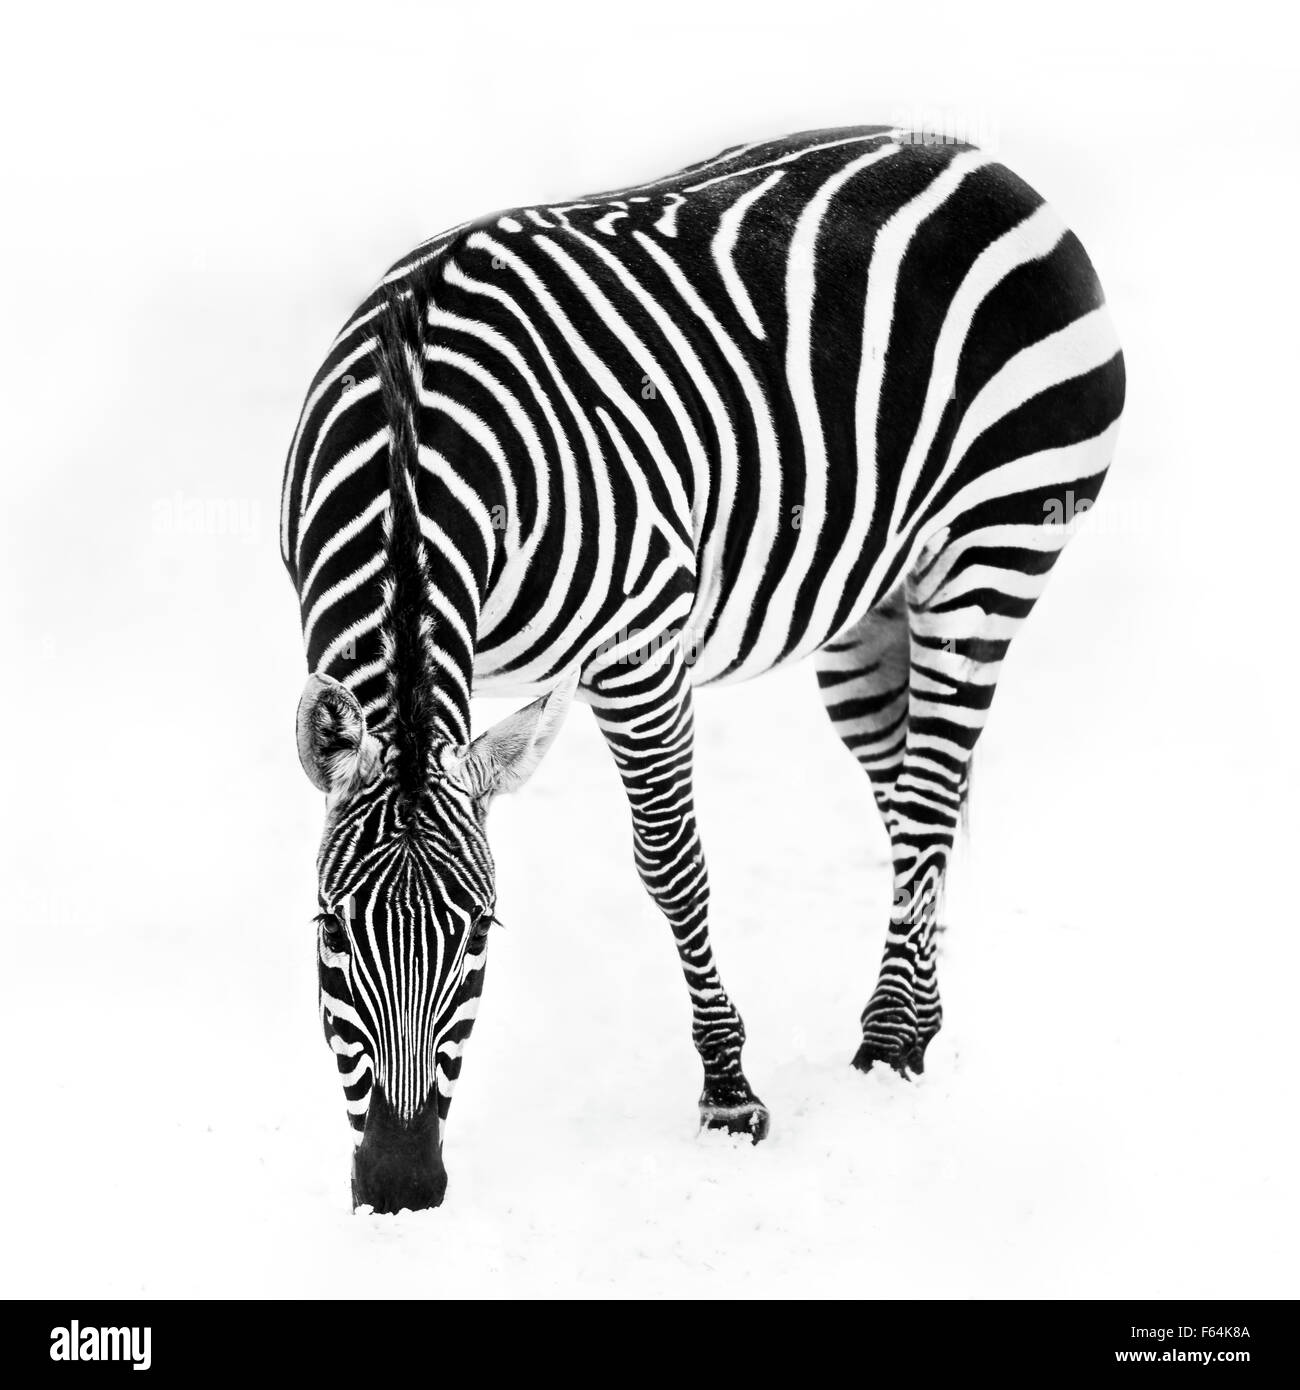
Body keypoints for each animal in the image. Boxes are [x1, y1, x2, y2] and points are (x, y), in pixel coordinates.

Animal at [282, 125, 1124, 1212]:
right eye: (329, 933)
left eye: (481, 935)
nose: (399, 1185)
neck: (408, 431)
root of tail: (979, 157)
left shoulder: (637, 648)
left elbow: (671, 865)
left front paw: (728, 1093)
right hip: (866, 603)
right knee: (908, 801)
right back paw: (918, 1018)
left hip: (993, 546)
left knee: (933, 796)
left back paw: (891, 1040)